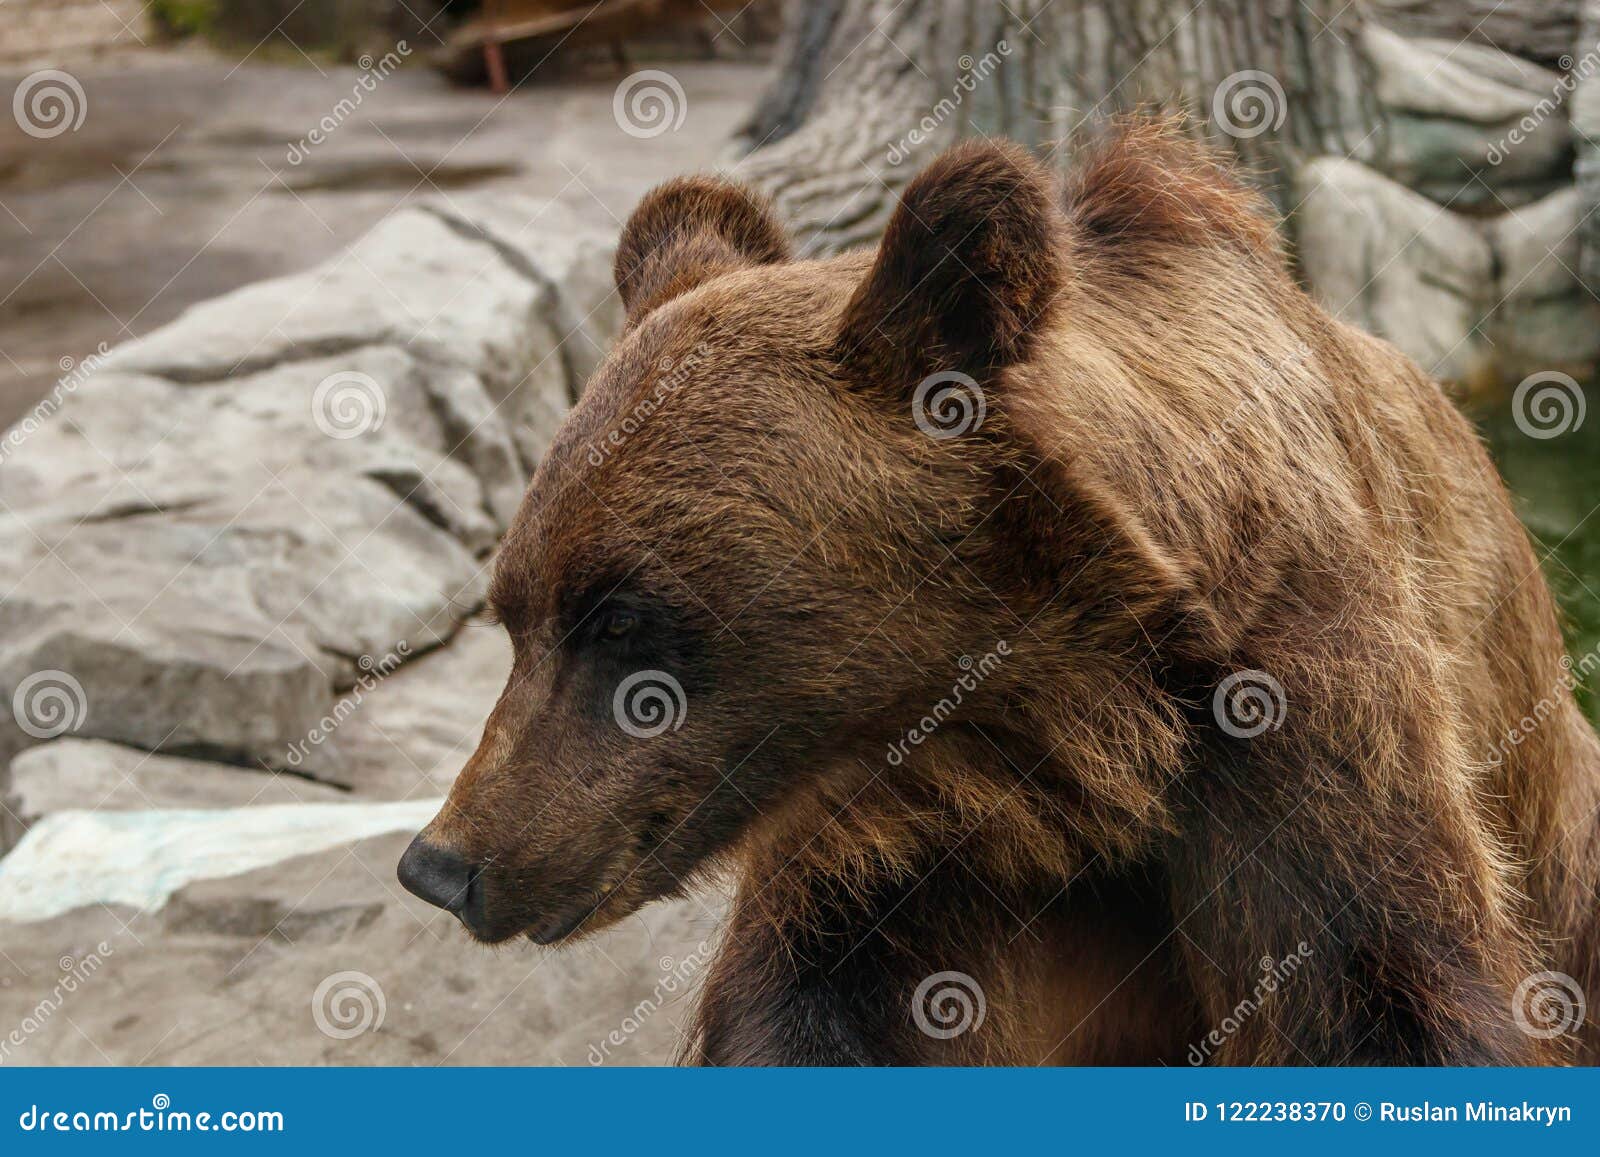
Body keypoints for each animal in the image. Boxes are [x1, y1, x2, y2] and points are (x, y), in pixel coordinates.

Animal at [398, 120, 1600, 1066]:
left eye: (621, 618)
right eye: (514, 610)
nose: (443, 864)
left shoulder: (1295, 710)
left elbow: (1373, 990)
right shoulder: (895, 853)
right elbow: (823, 1016)